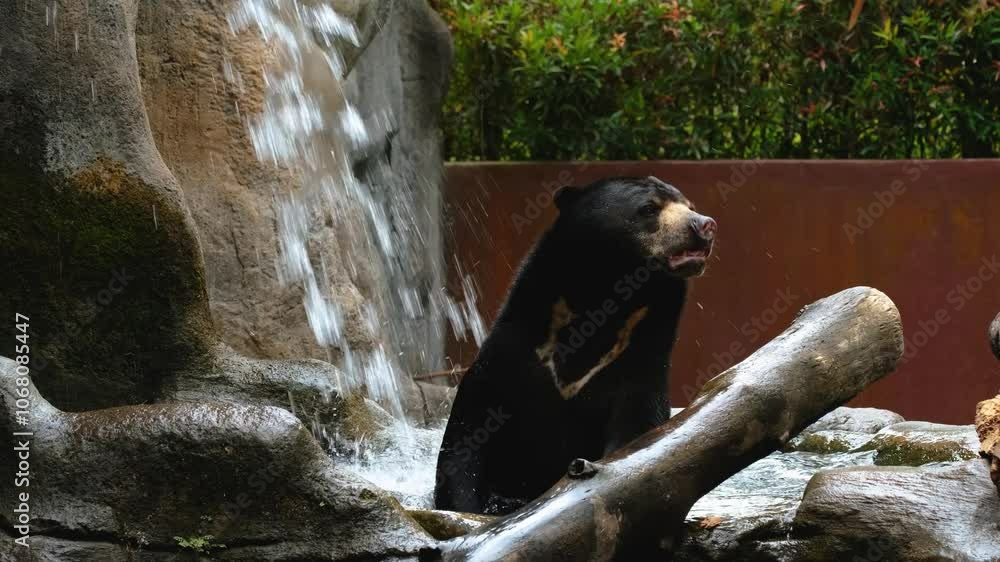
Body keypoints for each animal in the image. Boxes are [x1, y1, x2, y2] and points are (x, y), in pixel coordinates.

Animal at [434, 176, 717, 515]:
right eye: (649, 208)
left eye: (690, 206)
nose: (705, 225)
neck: (605, 296)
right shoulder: (507, 358)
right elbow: (468, 435)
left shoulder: (641, 365)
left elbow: (636, 429)